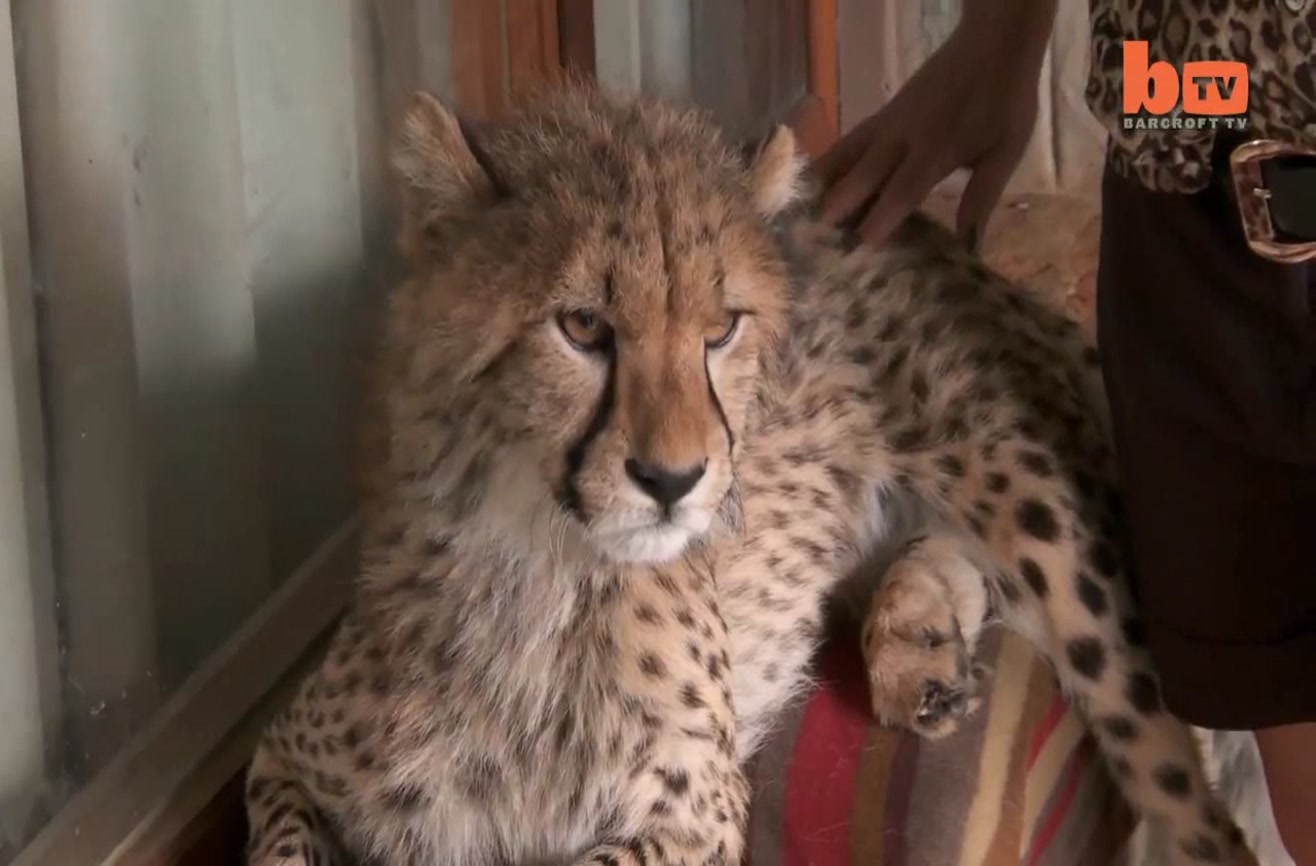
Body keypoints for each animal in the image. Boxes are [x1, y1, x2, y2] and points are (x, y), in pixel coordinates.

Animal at [242, 82, 1261, 866]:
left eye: (721, 327)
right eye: (582, 326)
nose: (674, 479)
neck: (541, 569)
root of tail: (915, 229)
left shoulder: (699, 806)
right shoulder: (280, 763)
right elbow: (281, 847)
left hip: (1035, 512)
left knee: (1187, 791)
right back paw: (919, 648)